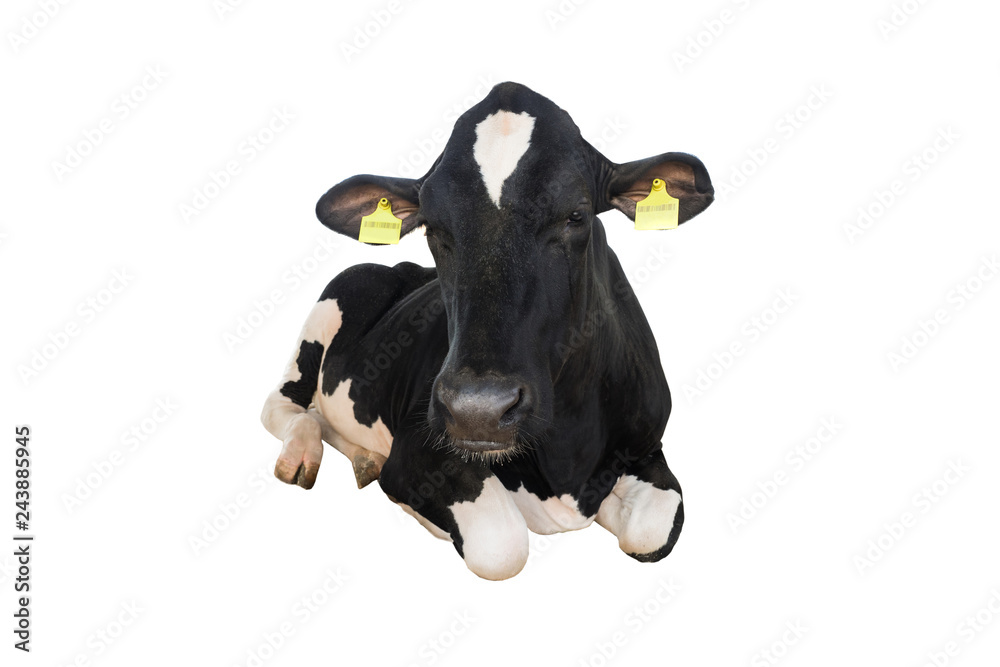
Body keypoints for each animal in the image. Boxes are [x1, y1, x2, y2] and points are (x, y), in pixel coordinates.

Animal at [261, 82, 713, 580]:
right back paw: (306, 452)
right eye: (431, 226)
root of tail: (398, 267)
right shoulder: (417, 449)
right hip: (332, 303)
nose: (478, 410)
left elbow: (649, 531)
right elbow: (502, 543)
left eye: (576, 215)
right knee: (284, 407)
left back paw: (364, 457)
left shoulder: (649, 444)